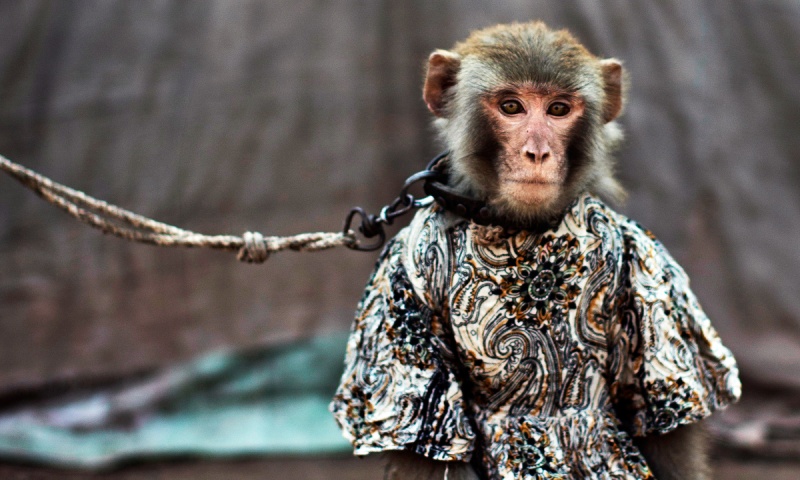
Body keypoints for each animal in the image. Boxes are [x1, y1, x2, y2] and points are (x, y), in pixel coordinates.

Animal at [331, 21, 740, 480]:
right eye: (512, 107)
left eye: (558, 110)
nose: (538, 152)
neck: (519, 228)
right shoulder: (398, 285)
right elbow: (426, 449)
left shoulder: (651, 270)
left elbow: (667, 433)